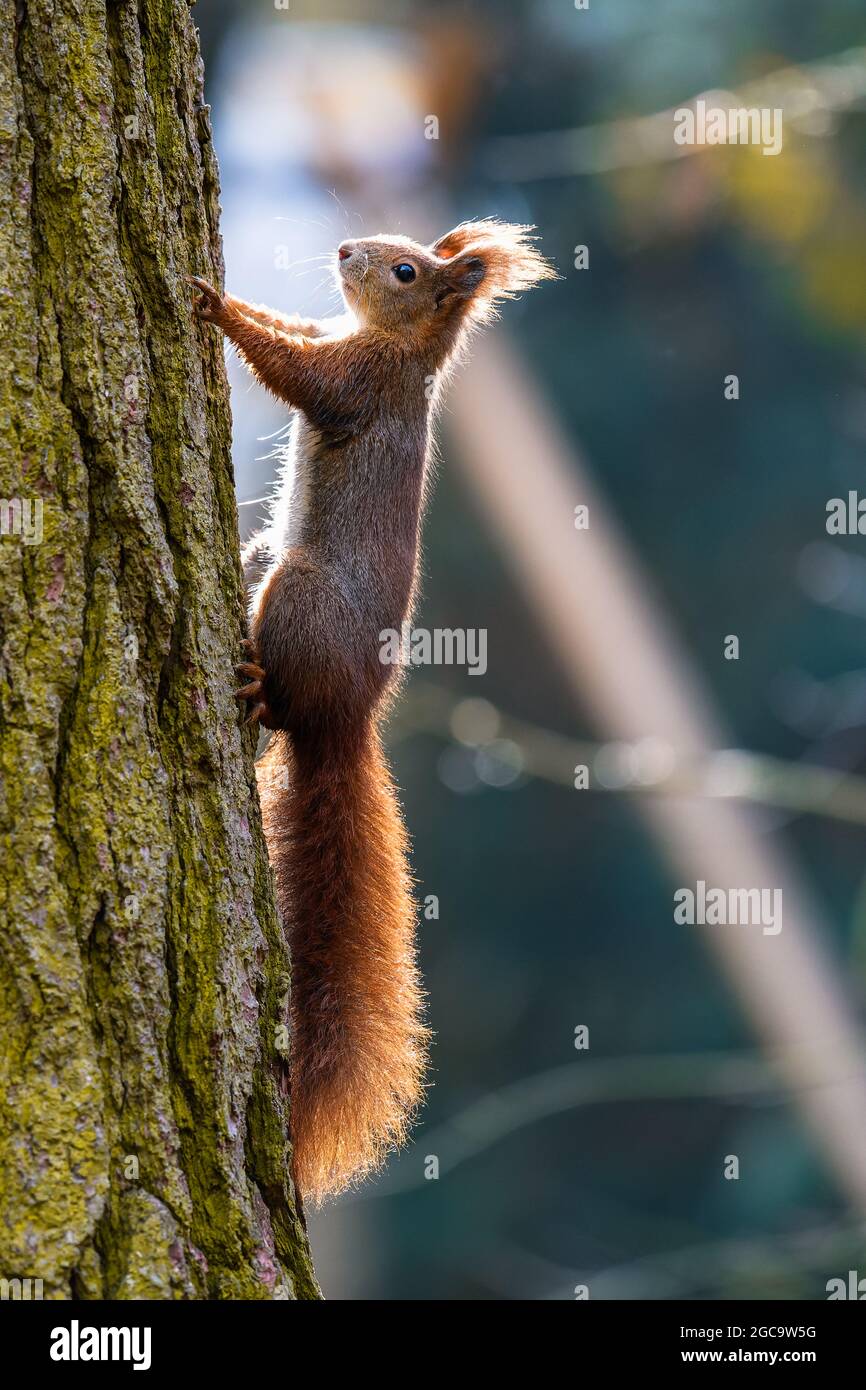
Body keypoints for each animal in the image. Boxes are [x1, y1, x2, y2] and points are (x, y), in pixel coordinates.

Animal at [189, 220, 555, 1203]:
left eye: (404, 270)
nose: (346, 248)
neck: (401, 347)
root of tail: (345, 724)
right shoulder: (336, 338)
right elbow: (297, 336)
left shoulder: (358, 382)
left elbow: (297, 373)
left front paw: (214, 304)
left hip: (295, 591)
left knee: (281, 705)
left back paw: (257, 690)